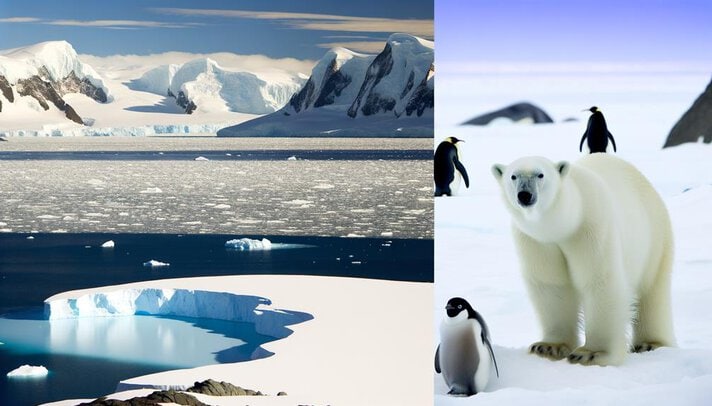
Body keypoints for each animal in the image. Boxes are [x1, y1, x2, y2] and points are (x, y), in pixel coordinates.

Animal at [491, 154, 675, 366]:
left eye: (540, 174)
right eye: (513, 176)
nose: (524, 195)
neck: (564, 224)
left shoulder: (590, 228)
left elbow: (599, 280)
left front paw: (591, 353)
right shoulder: (537, 242)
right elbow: (551, 284)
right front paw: (548, 347)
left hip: (655, 237)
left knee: (652, 291)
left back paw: (650, 343)